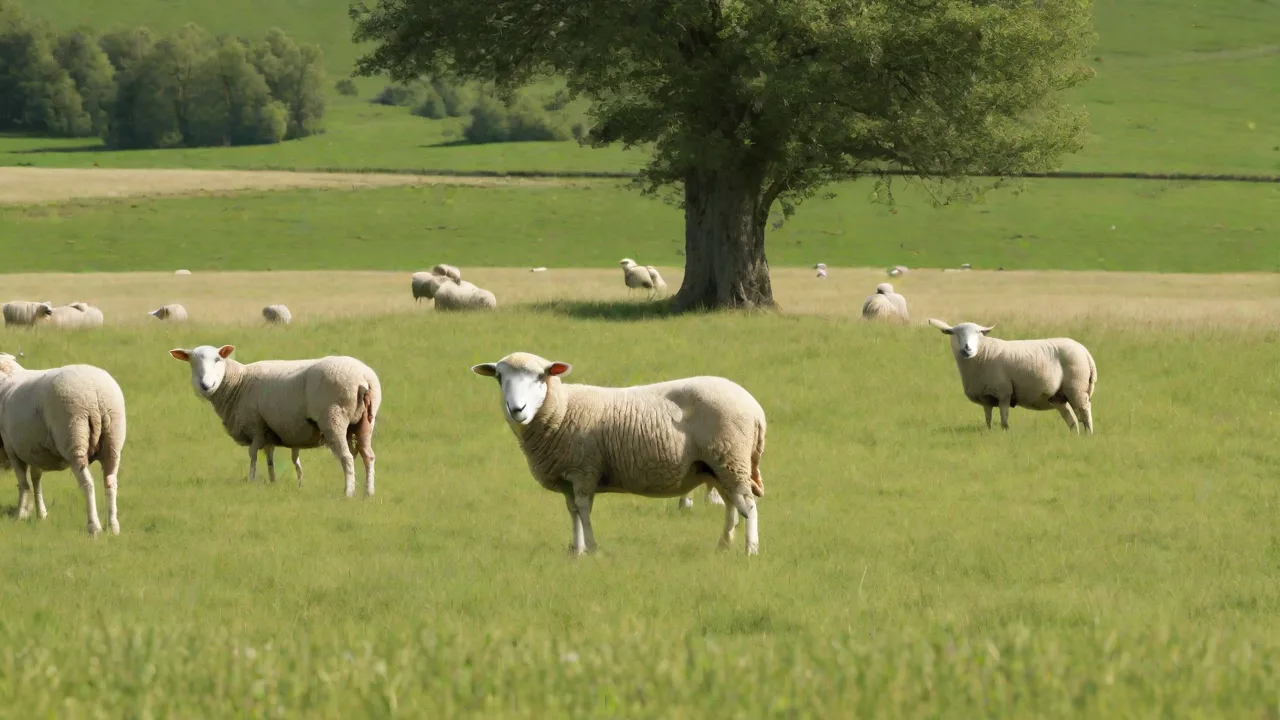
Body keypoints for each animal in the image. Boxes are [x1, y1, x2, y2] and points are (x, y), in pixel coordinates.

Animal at [0, 353, 126, 535]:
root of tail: (94, 392)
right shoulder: (33, 449)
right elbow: (36, 481)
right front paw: (41, 514)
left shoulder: (12, 449)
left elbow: (23, 484)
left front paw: (20, 514)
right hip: (113, 440)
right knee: (110, 482)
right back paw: (113, 526)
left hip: (74, 437)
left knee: (87, 483)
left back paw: (94, 527)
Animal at [168, 345, 382, 497]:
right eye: (192, 362)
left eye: (218, 359)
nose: (206, 385)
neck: (237, 383)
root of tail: (363, 377)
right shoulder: (267, 430)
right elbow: (270, 458)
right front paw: (273, 483)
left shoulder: (254, 425)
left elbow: (253, 455)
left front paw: (251, 480)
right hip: (365, 422)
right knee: (368, 456)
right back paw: (368, 492)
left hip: (333, 418)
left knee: (346, 457)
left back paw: (348, 492)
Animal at [471, 352, 767, 556]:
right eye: (499, 378)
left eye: (541, 376)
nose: (516, 409)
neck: (562, 409)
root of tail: (755, 408)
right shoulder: (568, 476)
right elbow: (572, 512)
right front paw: (576, 551)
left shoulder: (584, 470)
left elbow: (584, 510)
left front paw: (592, 549)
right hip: (717, 465)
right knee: (731, 504)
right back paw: (723, 546)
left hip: (731, 457)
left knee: (748, 505)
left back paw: (751, 550)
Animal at [927, 319, 1097, 434]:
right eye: (956, 333)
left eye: (978, 333)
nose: (967, 348)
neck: (982, 354)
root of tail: (1085, 351)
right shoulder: (986, 397)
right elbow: (988, 419)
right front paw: (989, 432)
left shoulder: (1004, 392)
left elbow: (1004, 419)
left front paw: (1005, 433)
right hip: (1059, 396)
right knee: (1072, 418)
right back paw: (1075, 435)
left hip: (1077, 387)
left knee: (1085, 412)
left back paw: (1088, 435)